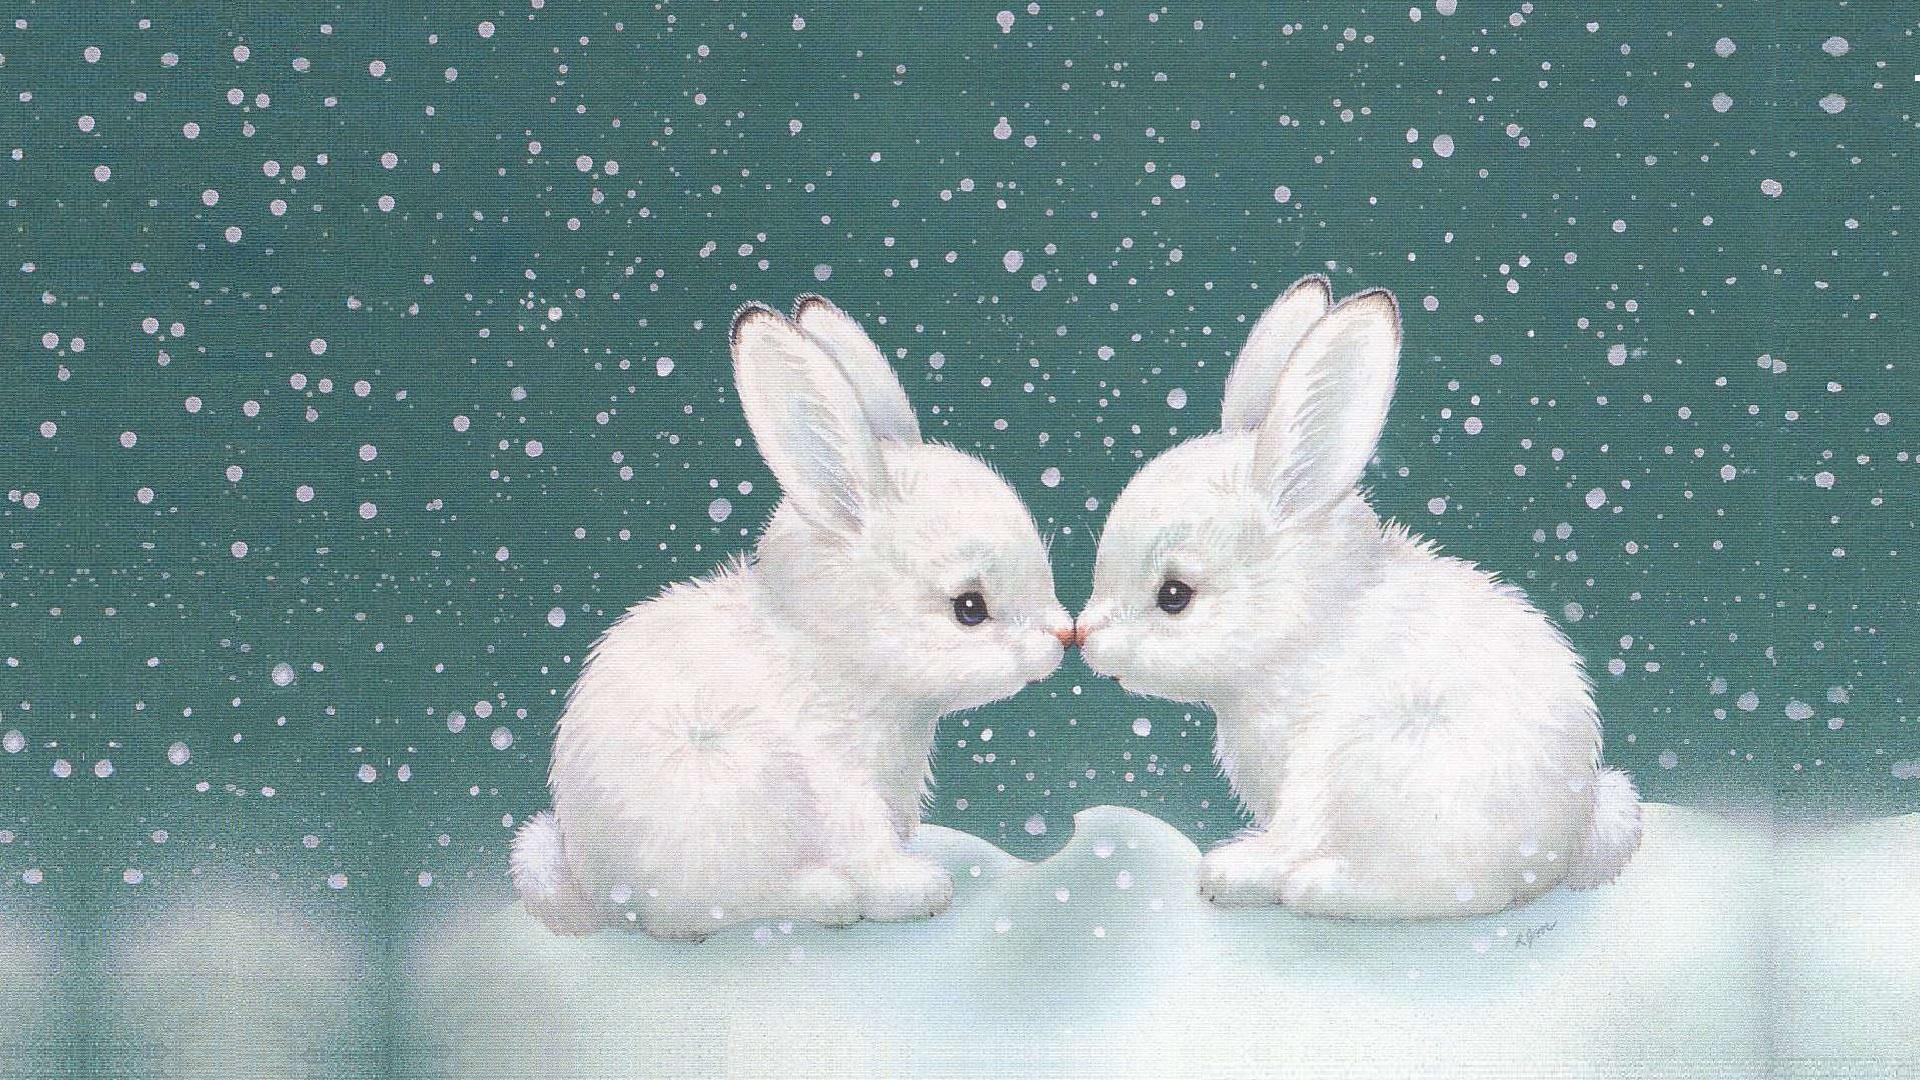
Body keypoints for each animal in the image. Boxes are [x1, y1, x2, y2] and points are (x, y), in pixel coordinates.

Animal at [512, 295, 1073, 939]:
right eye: (970, 608)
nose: (1065, 634)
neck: (836, 654)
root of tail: (597, 891)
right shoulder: (835, 776)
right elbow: (865, 843)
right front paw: (915, 891)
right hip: (730, 792)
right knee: (698, 911)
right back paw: (824, 899)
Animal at [1076, 274, 1641, 920]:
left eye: (1175, 595)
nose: (1082, 635)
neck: (1302, 633)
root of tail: (1567, 841)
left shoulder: (1313, 765)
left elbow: (1294, 828)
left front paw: (1229, 874)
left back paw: (1312, 887)